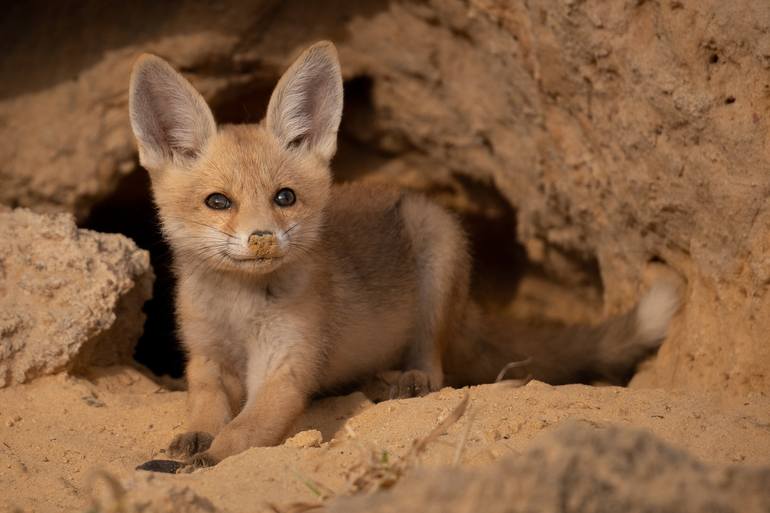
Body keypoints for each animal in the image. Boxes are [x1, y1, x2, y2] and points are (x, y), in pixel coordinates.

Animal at [128, 41, 680, 470]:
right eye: (218, 202)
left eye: (284, 197)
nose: (262, 237)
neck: (240, 310)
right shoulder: (205, 355)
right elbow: (205, 406)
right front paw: (195, 438)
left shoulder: (287, 365)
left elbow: (247, 429)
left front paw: (211, 457)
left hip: (437, 244)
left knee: (436, 368)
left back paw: (408, 378)